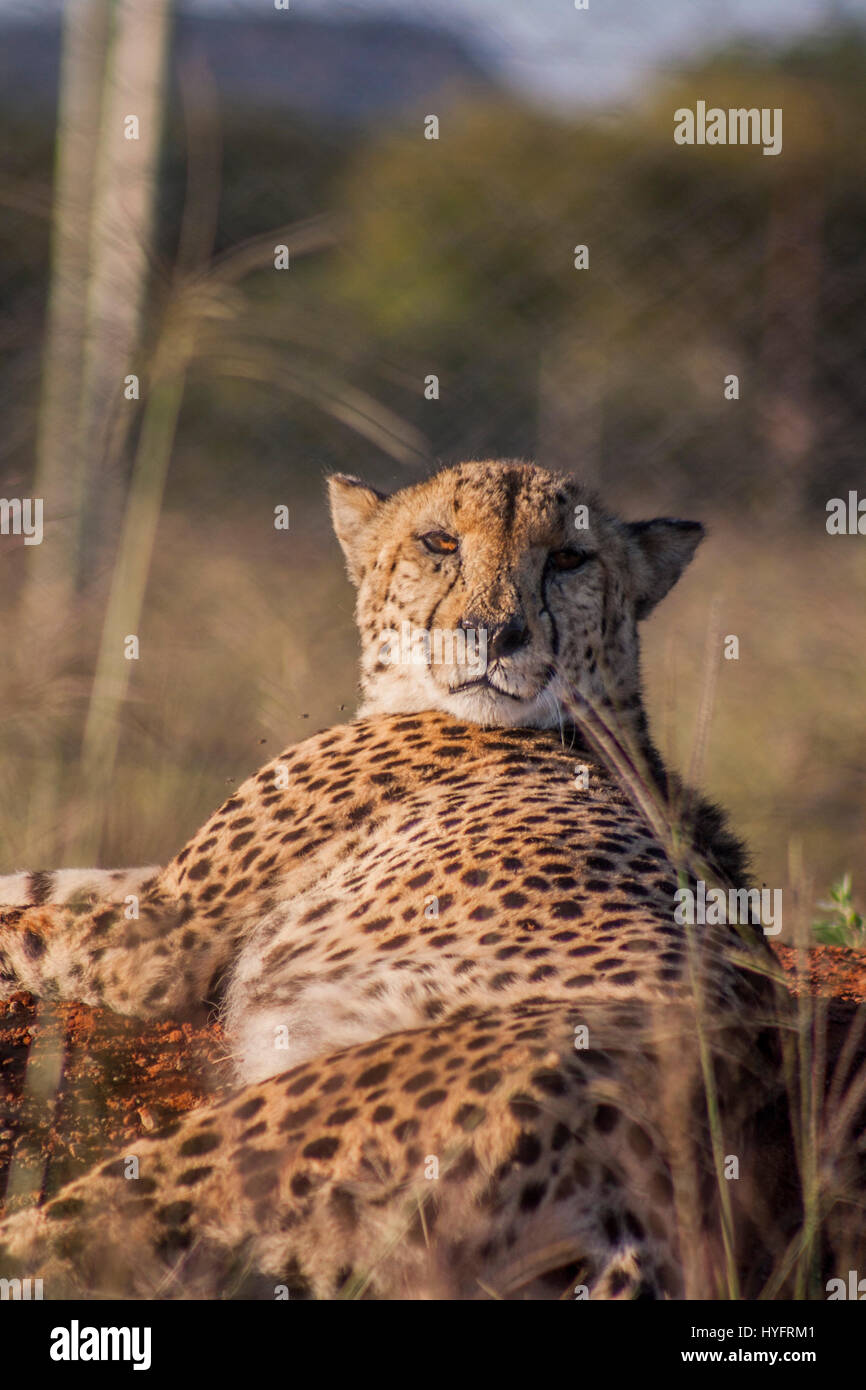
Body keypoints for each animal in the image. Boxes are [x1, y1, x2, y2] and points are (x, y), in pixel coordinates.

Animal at [0, 458, 793, 1300]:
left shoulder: (152, 945)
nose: (495, 632)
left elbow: (25, 927)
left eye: (571, 559)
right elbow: (36, 882)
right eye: (438, 541)